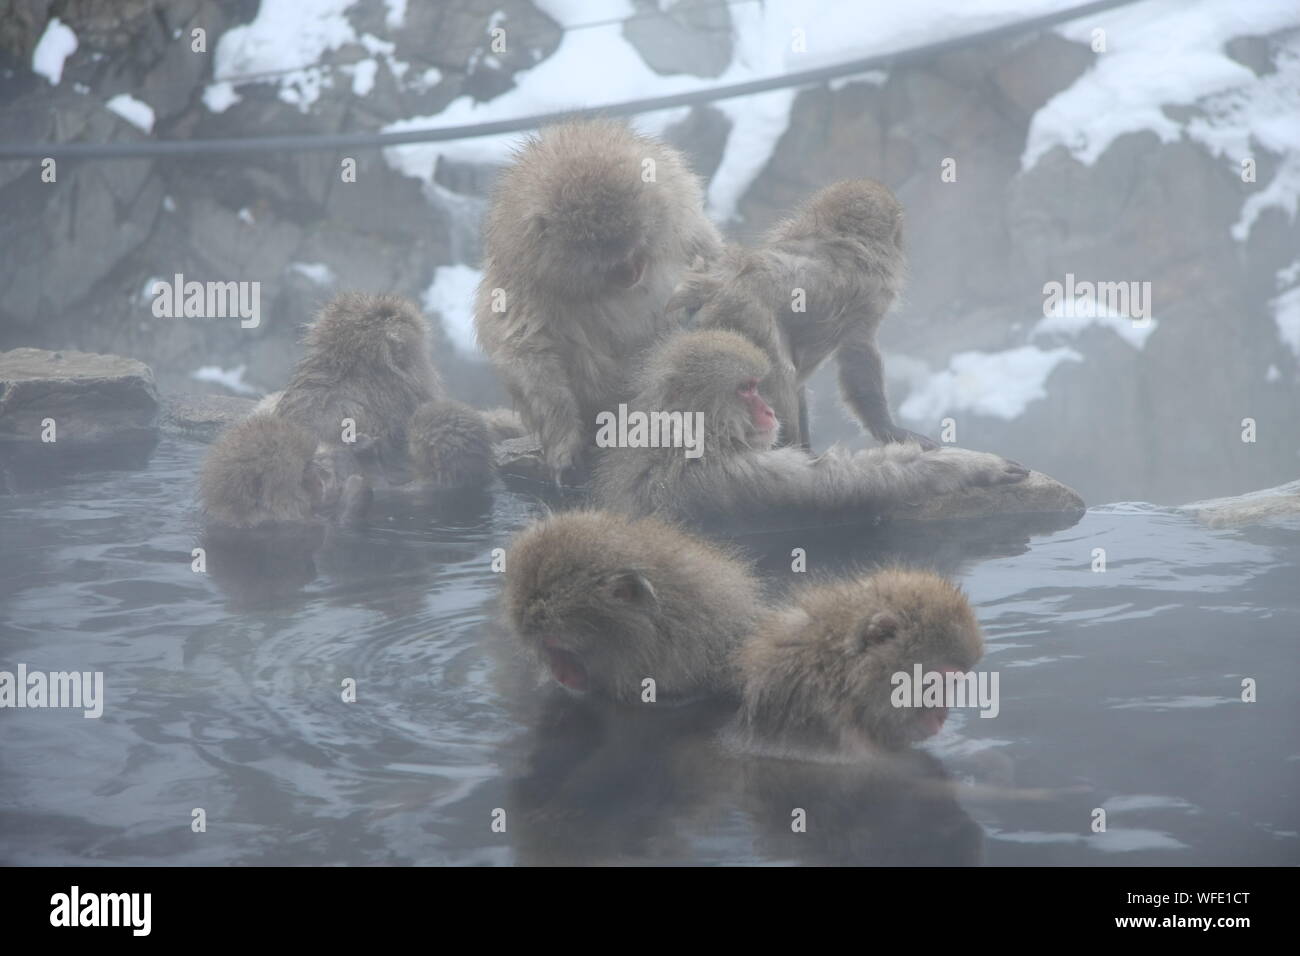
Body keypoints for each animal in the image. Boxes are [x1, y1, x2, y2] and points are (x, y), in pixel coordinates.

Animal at [474, 118, 723, 481]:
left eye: (633, 244)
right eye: (604, 262)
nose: (631, 272)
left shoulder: (686, 227)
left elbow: (712, 261)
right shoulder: (523, 286)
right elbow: (528, 355)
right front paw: (564, 440)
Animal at [592, 329, 1027, 525]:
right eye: (746, 389)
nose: (769, 411)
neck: (693, 439)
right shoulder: (741, 474)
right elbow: (841, 480)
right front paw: (970, 465)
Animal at [668, 179, 933, 450]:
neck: (841, 235)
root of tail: (708, 290)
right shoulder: (869, 296)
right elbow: (857, 350)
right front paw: (887, 428)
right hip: (749, 321)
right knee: (781, 375)